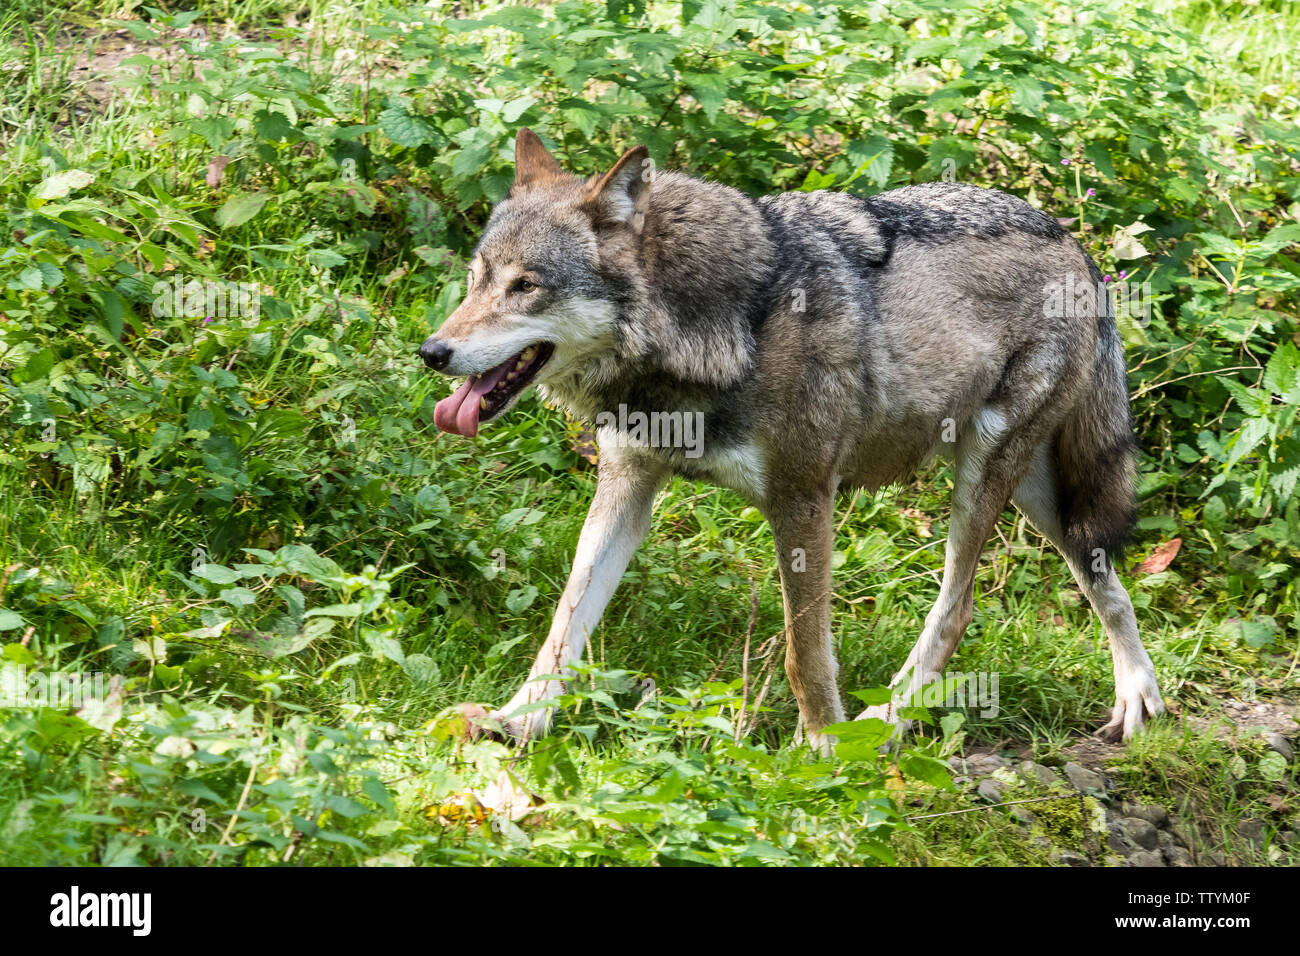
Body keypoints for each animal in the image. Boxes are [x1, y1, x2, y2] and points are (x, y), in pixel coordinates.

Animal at [418, 128, 1165, 750]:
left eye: (526, 287)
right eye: (476, 280)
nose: (433, 352)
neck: (716, 329)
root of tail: (1074, 244)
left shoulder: (803, 500)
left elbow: (805, 649)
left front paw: (825, 750)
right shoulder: (627, 484)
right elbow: (565, 622)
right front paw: (519, 722)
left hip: (986, 476)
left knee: (958, 610)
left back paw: (884, 723)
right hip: (1038, 496)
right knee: (1102, 575)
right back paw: (1139, 696)